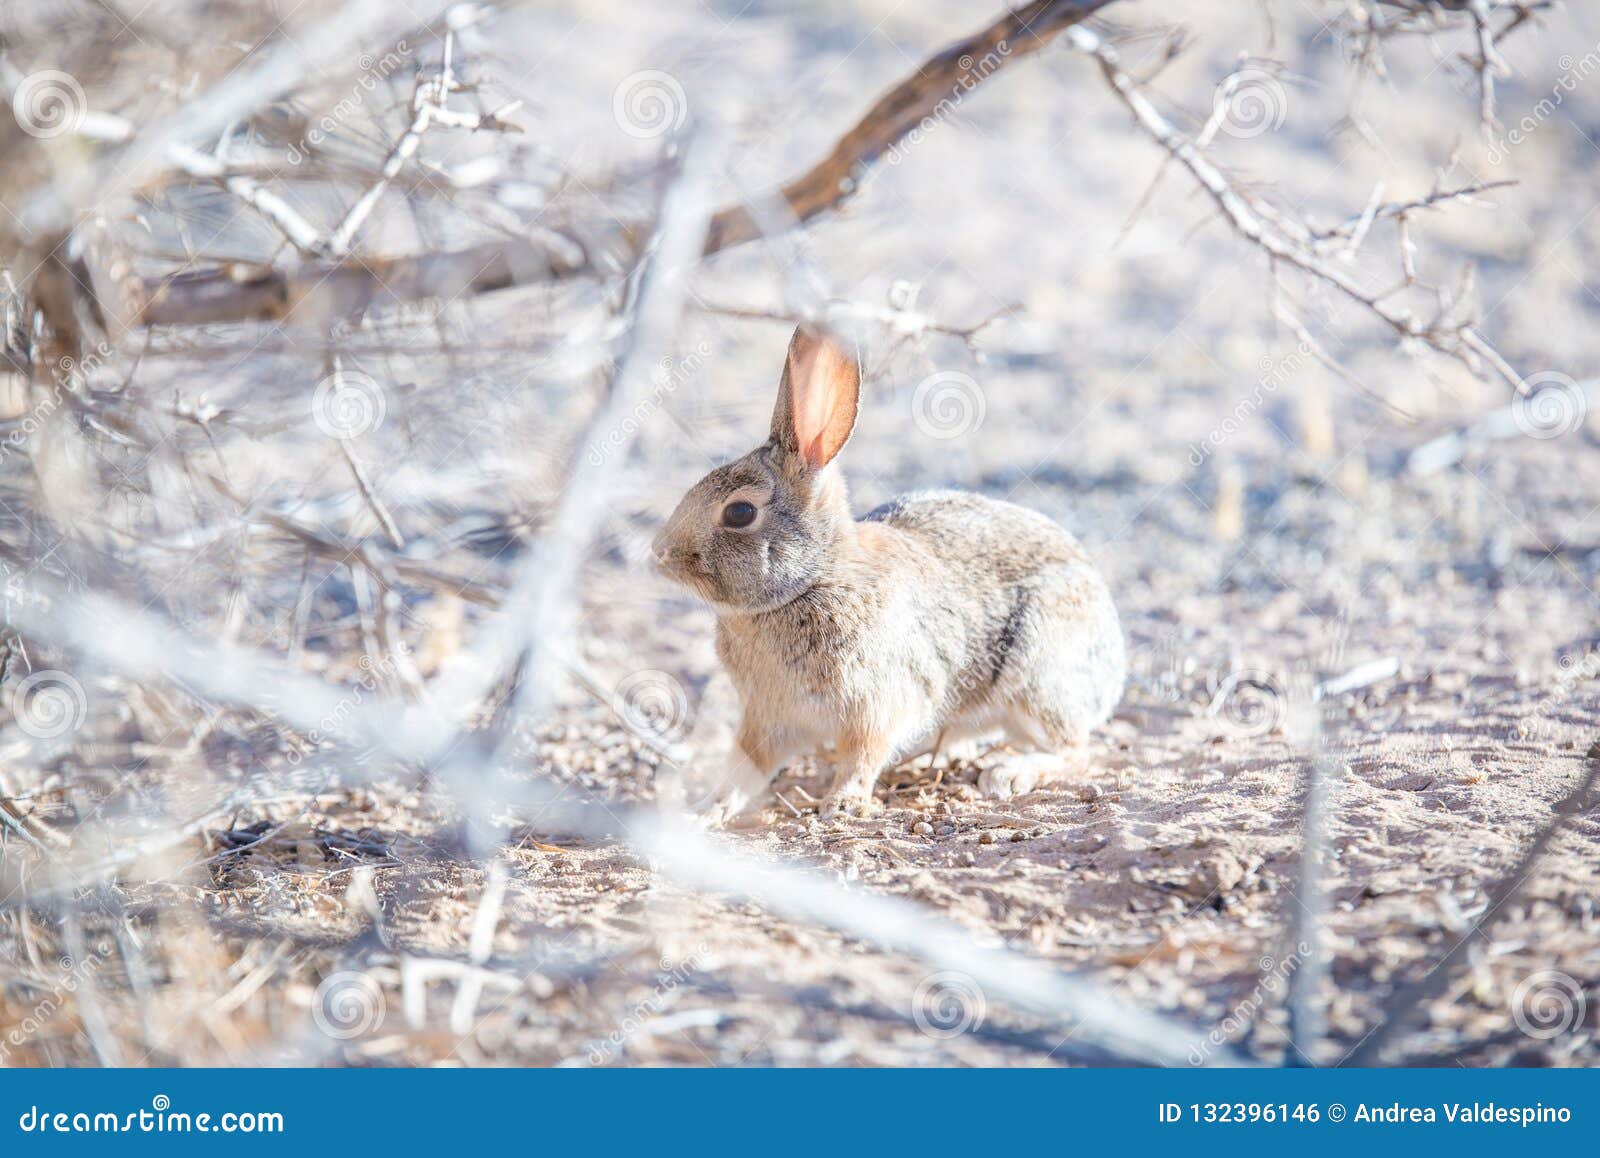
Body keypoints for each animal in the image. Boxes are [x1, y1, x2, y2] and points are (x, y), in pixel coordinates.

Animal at [652, 325, 1125, 822]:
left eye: (740, 512)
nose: (659, 552)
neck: (811, 582)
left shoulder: (878, 705)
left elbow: (862, 756)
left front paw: (842, 804)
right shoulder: (767, 716)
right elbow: (745, 767)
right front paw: (705, 809)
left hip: (1037, 673)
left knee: (1074, 749)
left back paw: (1008, 773)